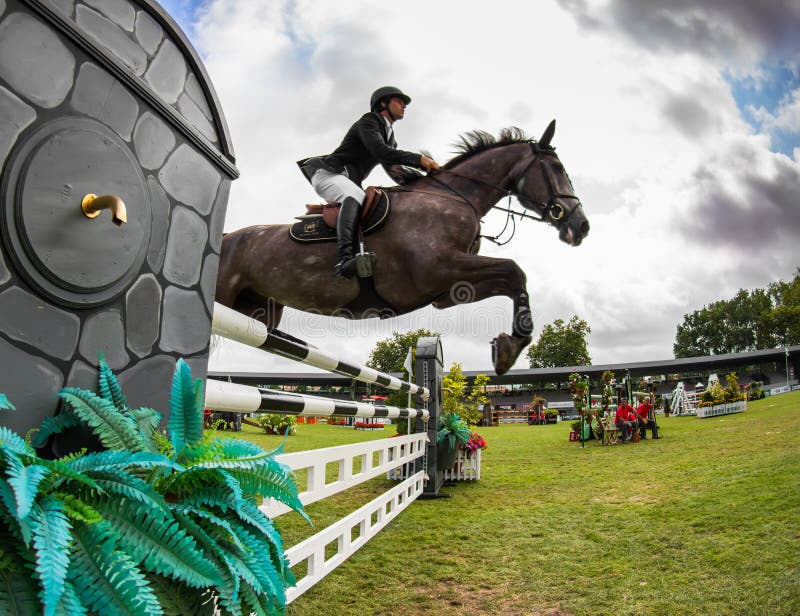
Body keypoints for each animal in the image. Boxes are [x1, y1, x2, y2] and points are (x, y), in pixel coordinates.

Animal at [215, 121, 589, 375]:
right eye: (557, 168)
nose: (581, 225)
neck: (454, 197)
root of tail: (226, 237)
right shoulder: (438, 269)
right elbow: (515, 270)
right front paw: (511, 347)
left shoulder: (448, 290)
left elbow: (512, 278)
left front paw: (509, 346)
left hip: (257, 311)